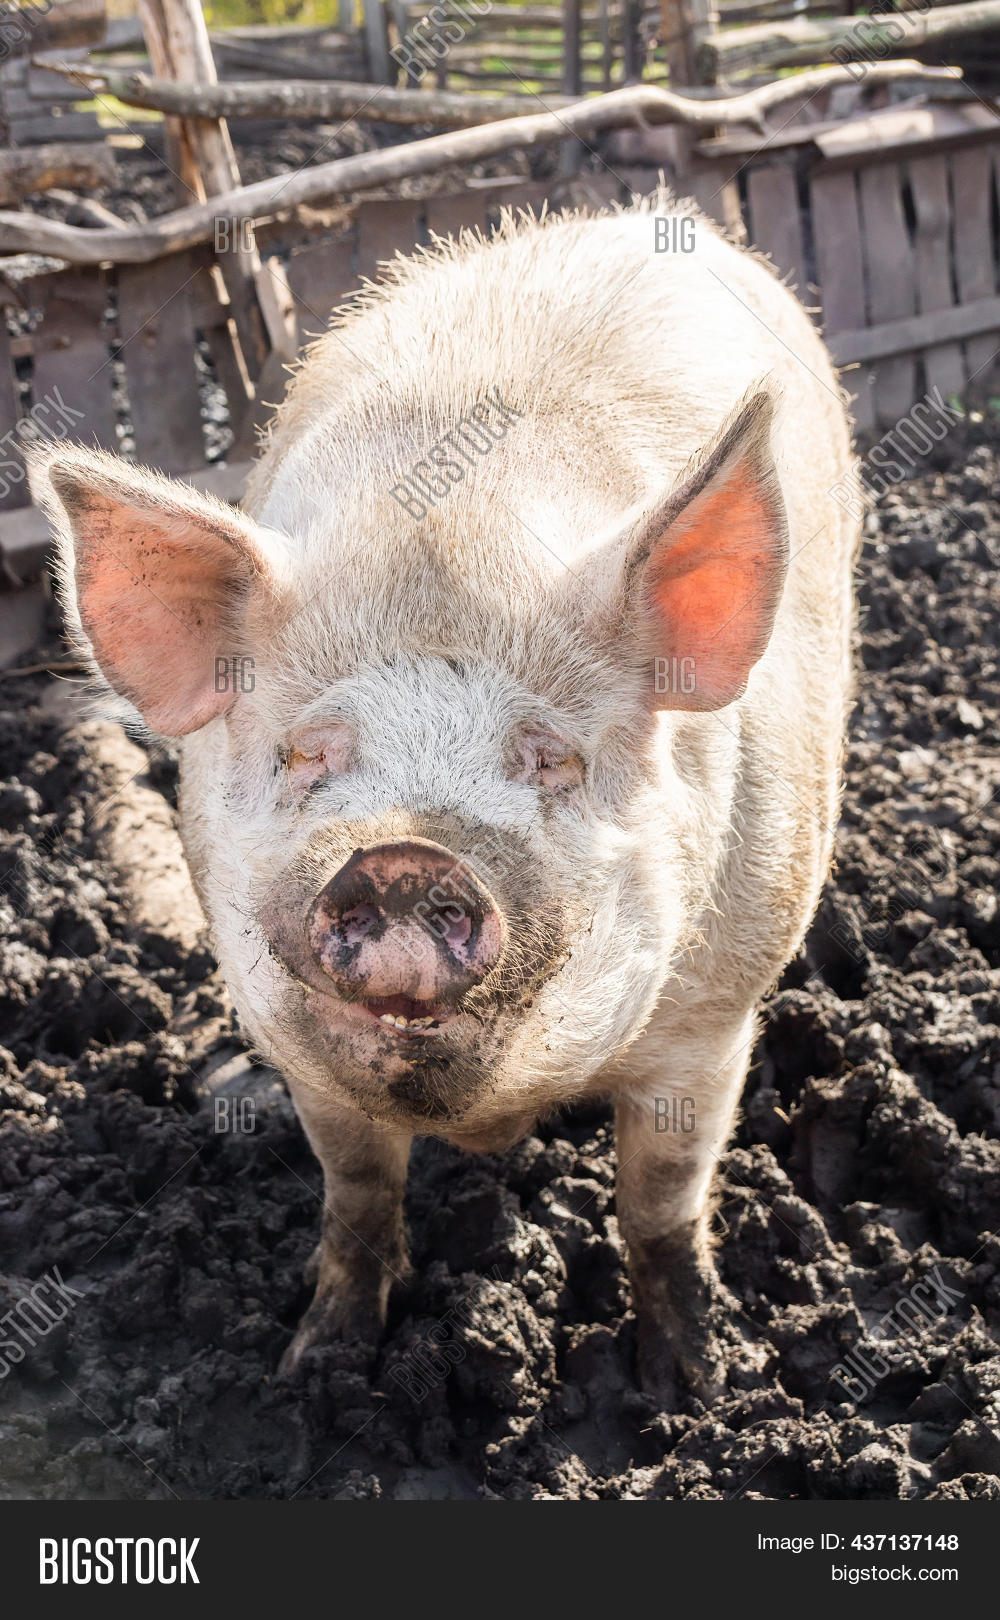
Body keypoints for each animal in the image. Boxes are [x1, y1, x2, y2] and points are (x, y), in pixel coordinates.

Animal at [34, 194, 857, 1404]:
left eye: (552, 759)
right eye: (305, 755)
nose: (402, 857)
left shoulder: (712, 1016)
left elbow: (661, 1200)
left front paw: (694, 1392)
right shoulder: (302, 1057)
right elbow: (356, 1195)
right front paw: (314, 1370)